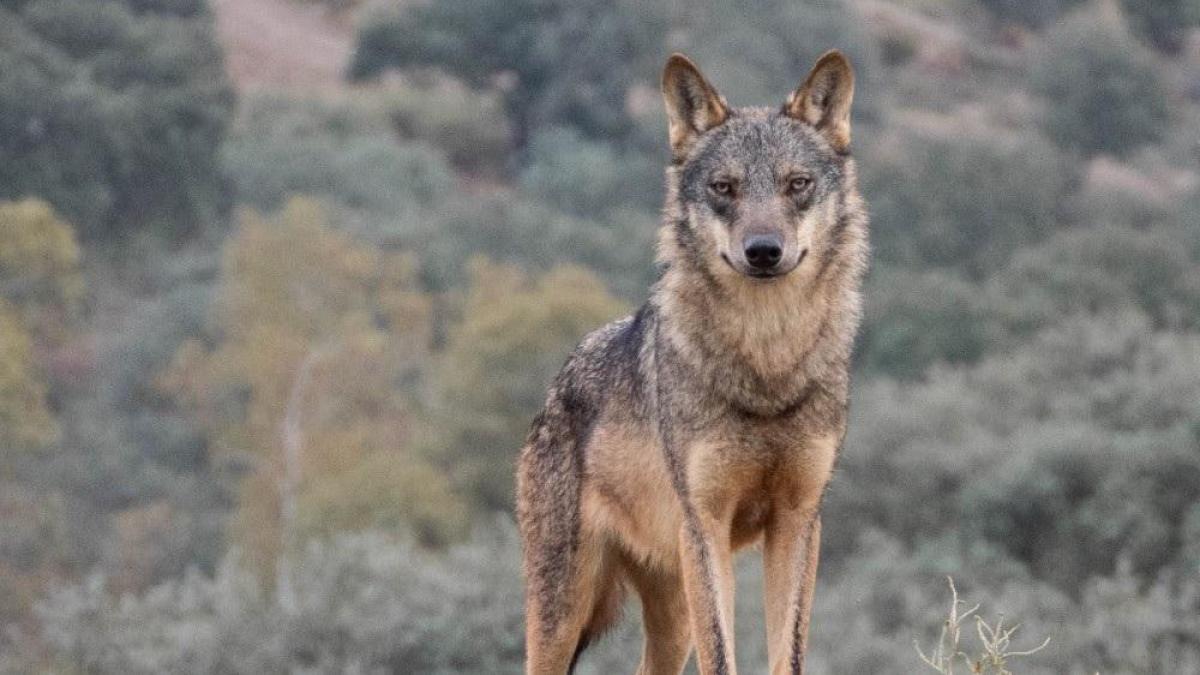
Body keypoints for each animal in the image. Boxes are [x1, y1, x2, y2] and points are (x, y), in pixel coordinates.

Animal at [516, 49, 868, 675]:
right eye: (724, 187)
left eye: (797, 184)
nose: (763, 251)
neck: (766, 365)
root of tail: (557, 383)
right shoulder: (705, 524)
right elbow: (723, 656)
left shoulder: (798, 522)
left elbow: (788, 655)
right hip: (565, 611)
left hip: (670, 609)